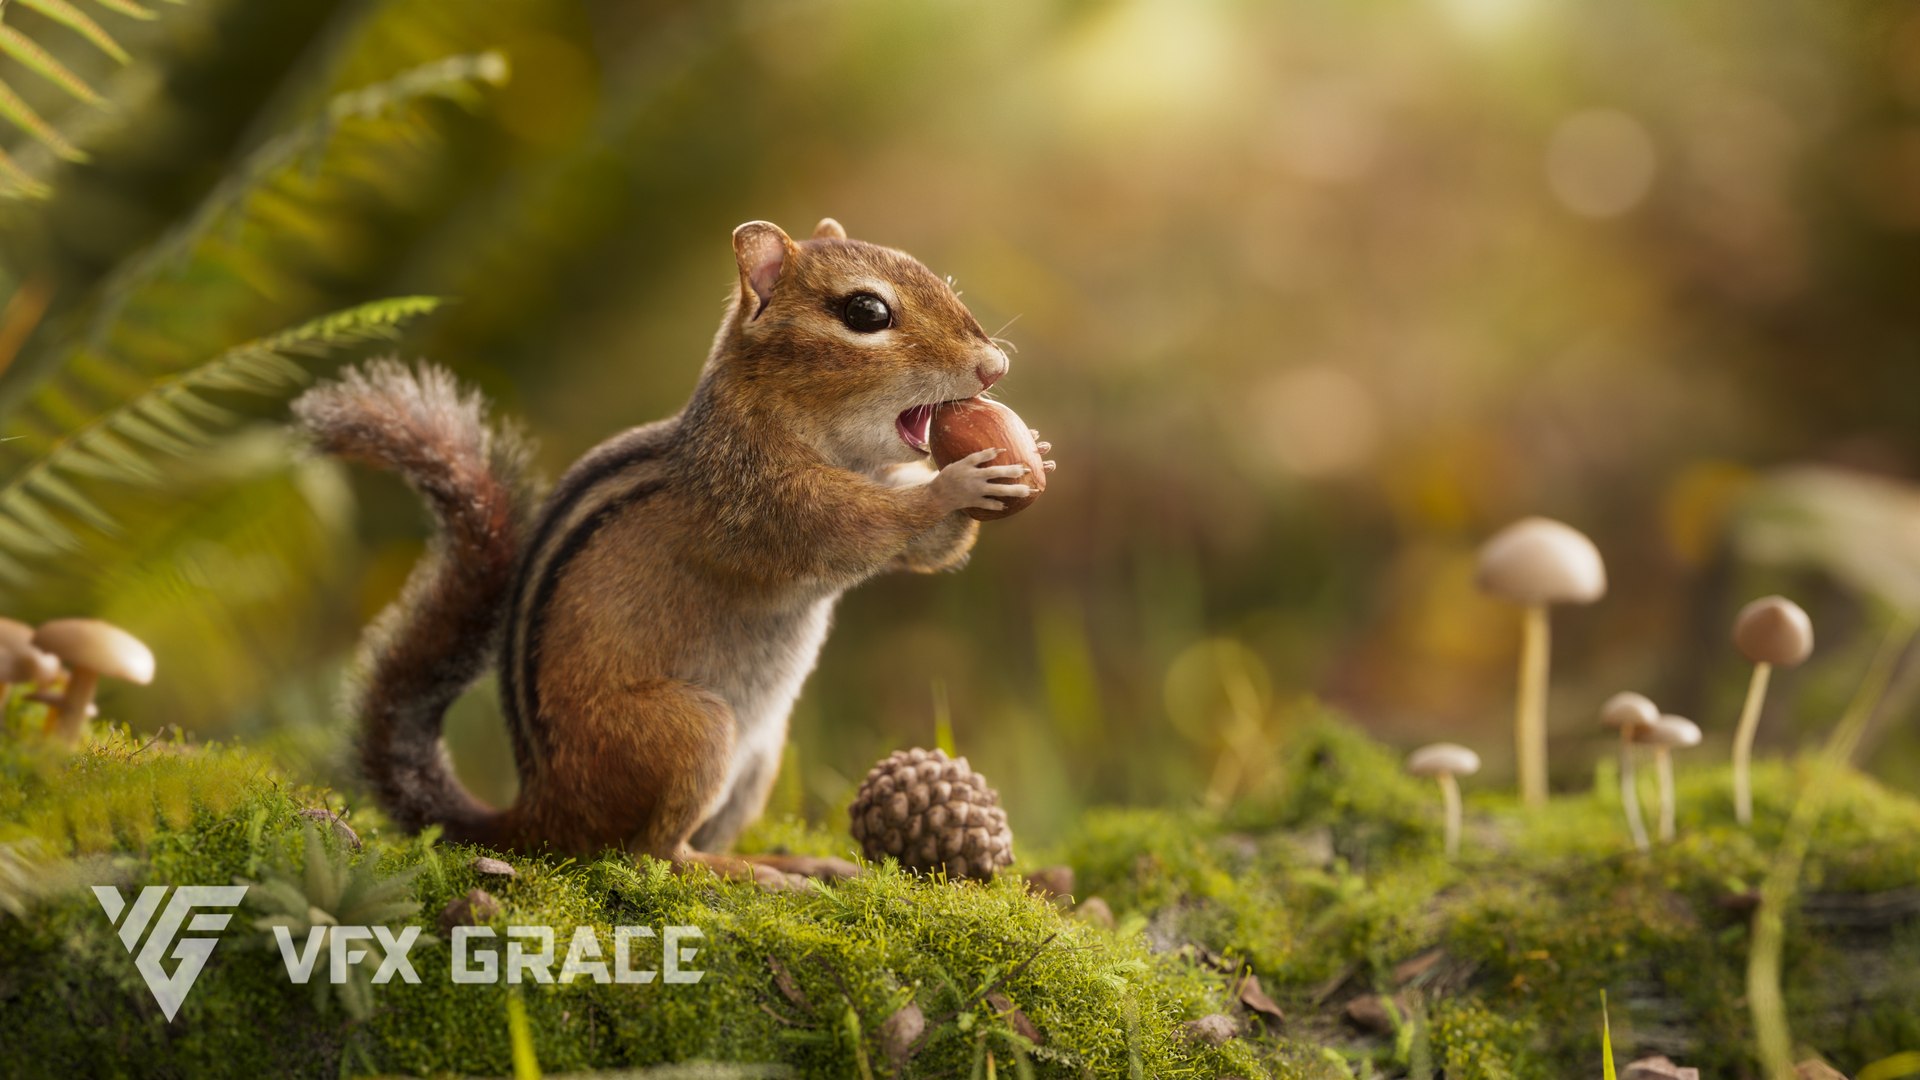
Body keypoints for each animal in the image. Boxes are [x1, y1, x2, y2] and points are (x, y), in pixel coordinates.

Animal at [292, 217, 1054, 886]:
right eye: (866, 312)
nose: (995, 365)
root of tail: (541, 814)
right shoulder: (761, 500)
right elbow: (856, 526)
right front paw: (957, 482)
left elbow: (921, 553)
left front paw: (1029, 456)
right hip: (692, 731)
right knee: (651, 855)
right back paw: (750, 875)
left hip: (759, 754)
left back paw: (796, 863)